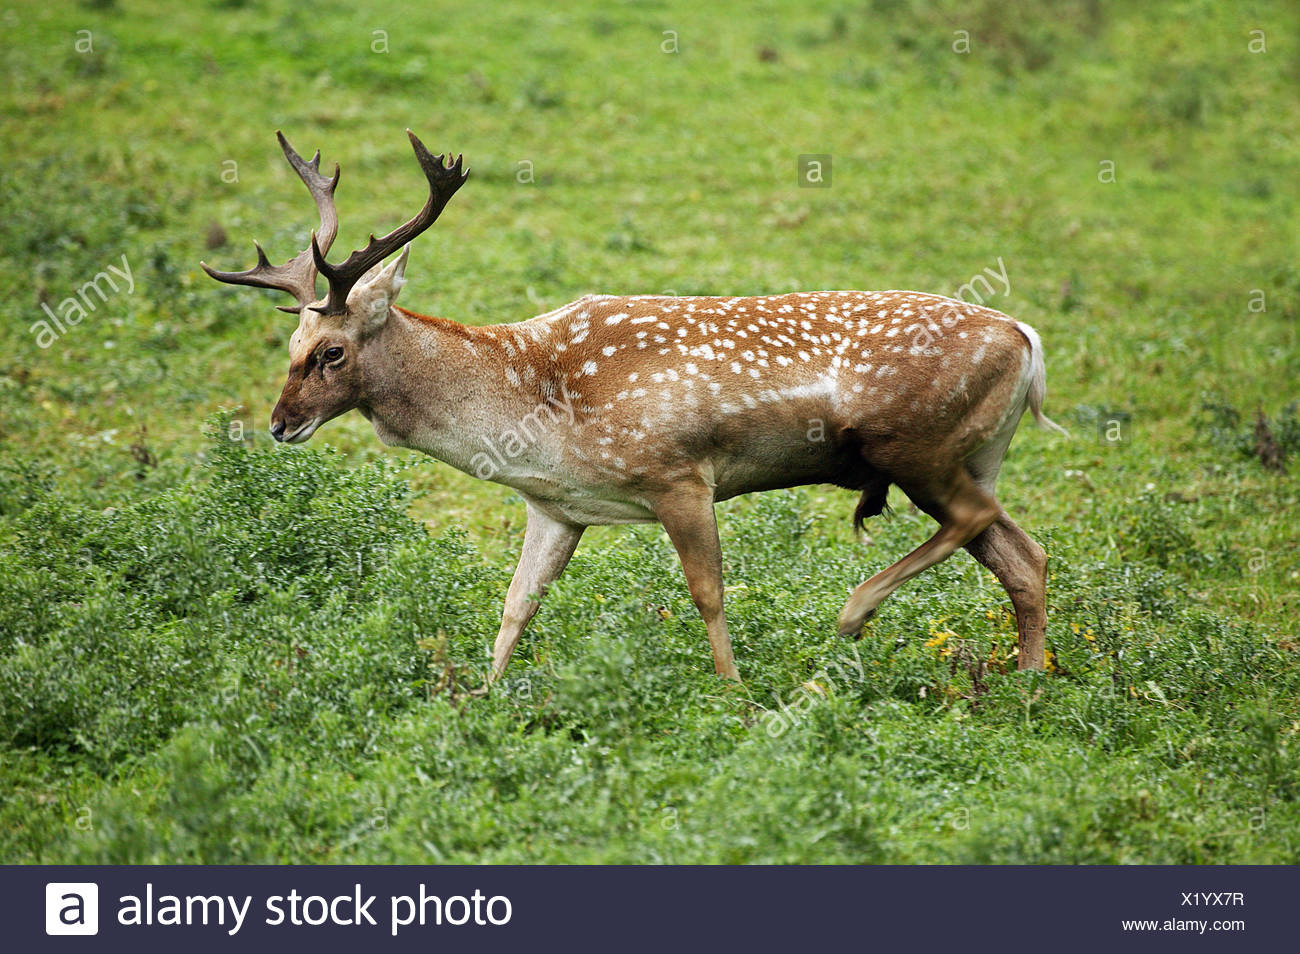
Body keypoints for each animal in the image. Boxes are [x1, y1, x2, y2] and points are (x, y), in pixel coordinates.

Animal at [203, 130, 1067, 684]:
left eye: (332, 352)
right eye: (289, 346)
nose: (279, 423)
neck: (531, 414)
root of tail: (1026, 340)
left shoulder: (679, 474)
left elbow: (708, 593)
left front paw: (735, 697)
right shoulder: (557, 507)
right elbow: (516, 605)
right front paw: (481, 701)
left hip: (914, 444)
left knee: (981, 526)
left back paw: (854, 615)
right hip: (970, 455)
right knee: (1021, 553)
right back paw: (1028, 686)